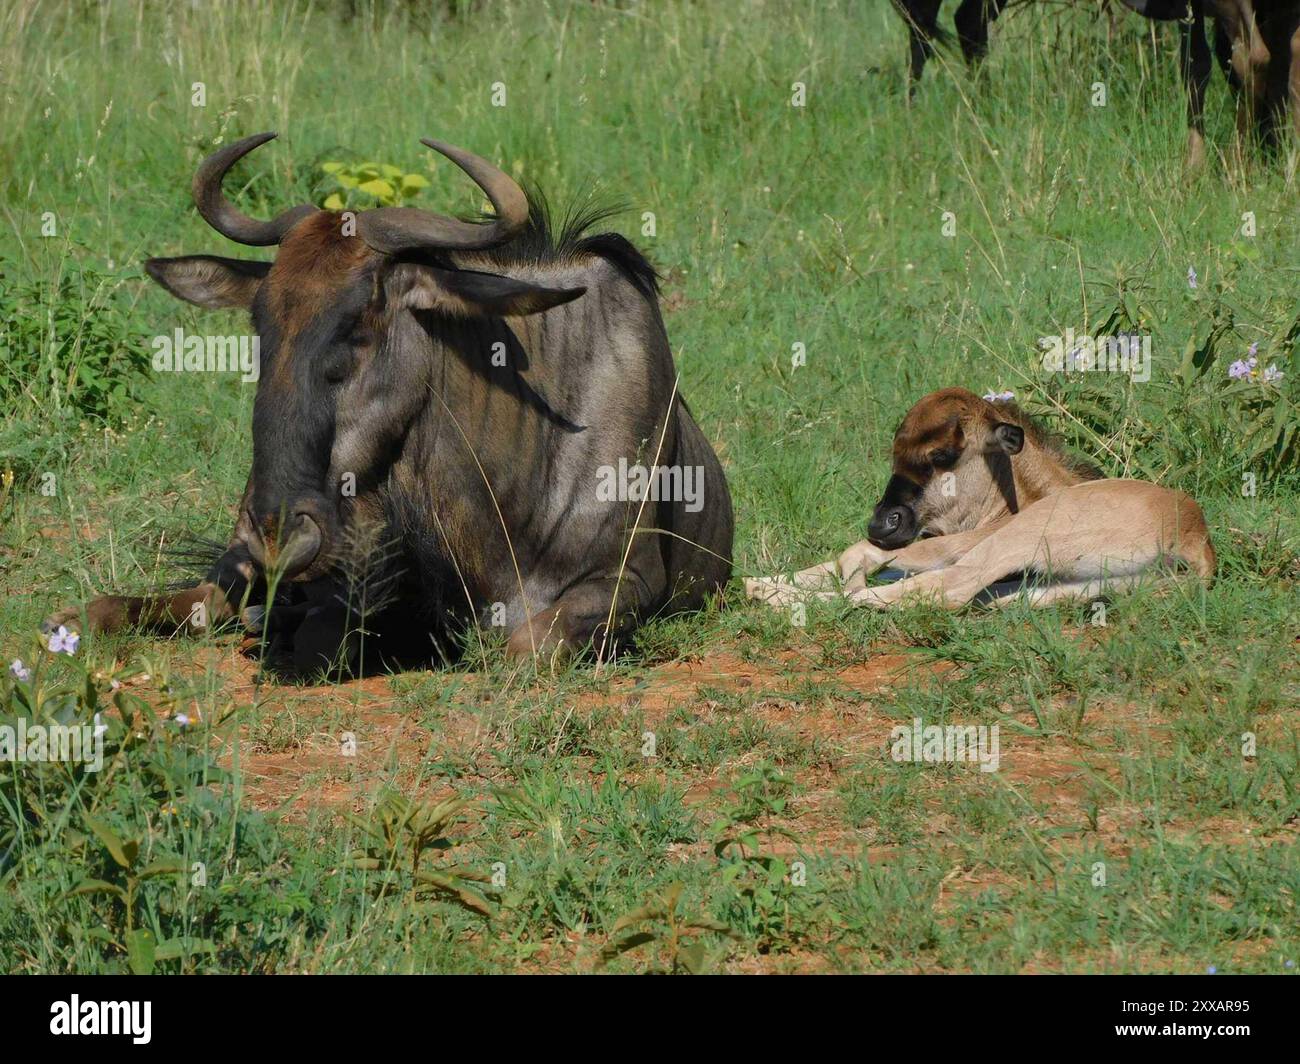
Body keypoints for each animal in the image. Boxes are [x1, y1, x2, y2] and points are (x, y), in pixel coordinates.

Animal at [745, 388, 1215, 611]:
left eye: (941, 455)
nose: (882, 523)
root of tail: (1194, 535)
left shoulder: (960, 542)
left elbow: (856, 556)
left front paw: (766, 588)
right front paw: (759, 580)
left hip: (1015, 543)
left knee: (948, 587)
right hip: (1073, 584)